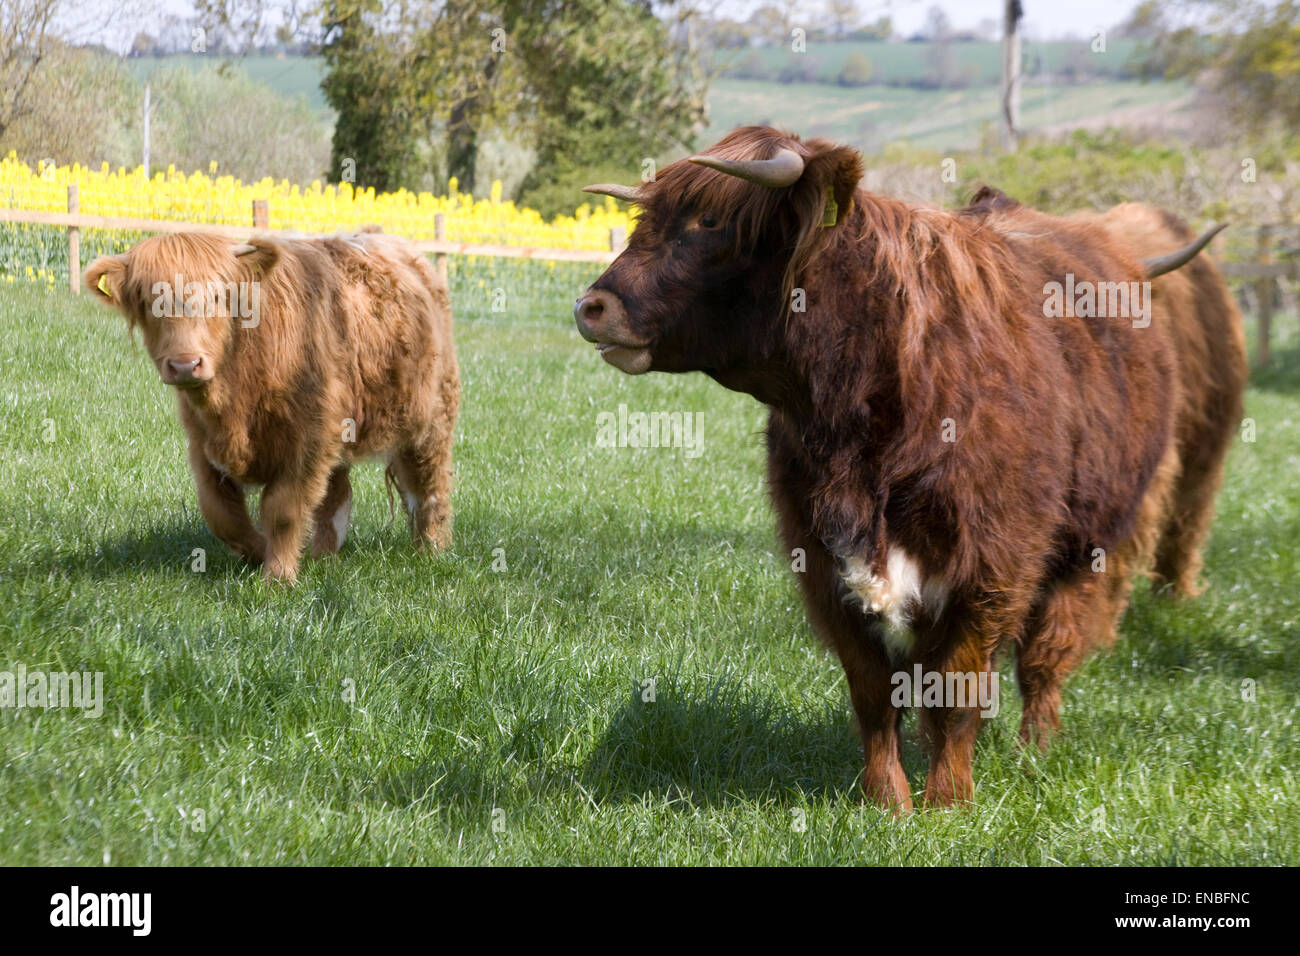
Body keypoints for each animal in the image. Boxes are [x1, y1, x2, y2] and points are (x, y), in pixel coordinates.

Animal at [84, 229, 459, 585]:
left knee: (429, 486)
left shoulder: (308, 440)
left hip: (431, 421)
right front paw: (260, 551)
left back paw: (431, 550)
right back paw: (323, 557)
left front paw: (278, 577)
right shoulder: (201, 442)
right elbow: (220, 513)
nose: (185, 364)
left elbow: (283, 510)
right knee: (337, 493)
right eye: (147, 301)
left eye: (218, 296)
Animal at [574, 126, 1245, 810]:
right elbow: (874, 690)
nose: (592, 306)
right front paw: (887, 801)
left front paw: (948, 801)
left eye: (708, 221)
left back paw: (1034, 752)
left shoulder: (992, 565)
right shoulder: (821, 561)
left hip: (1090, 545)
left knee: (1046, 657)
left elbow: (958, 686)